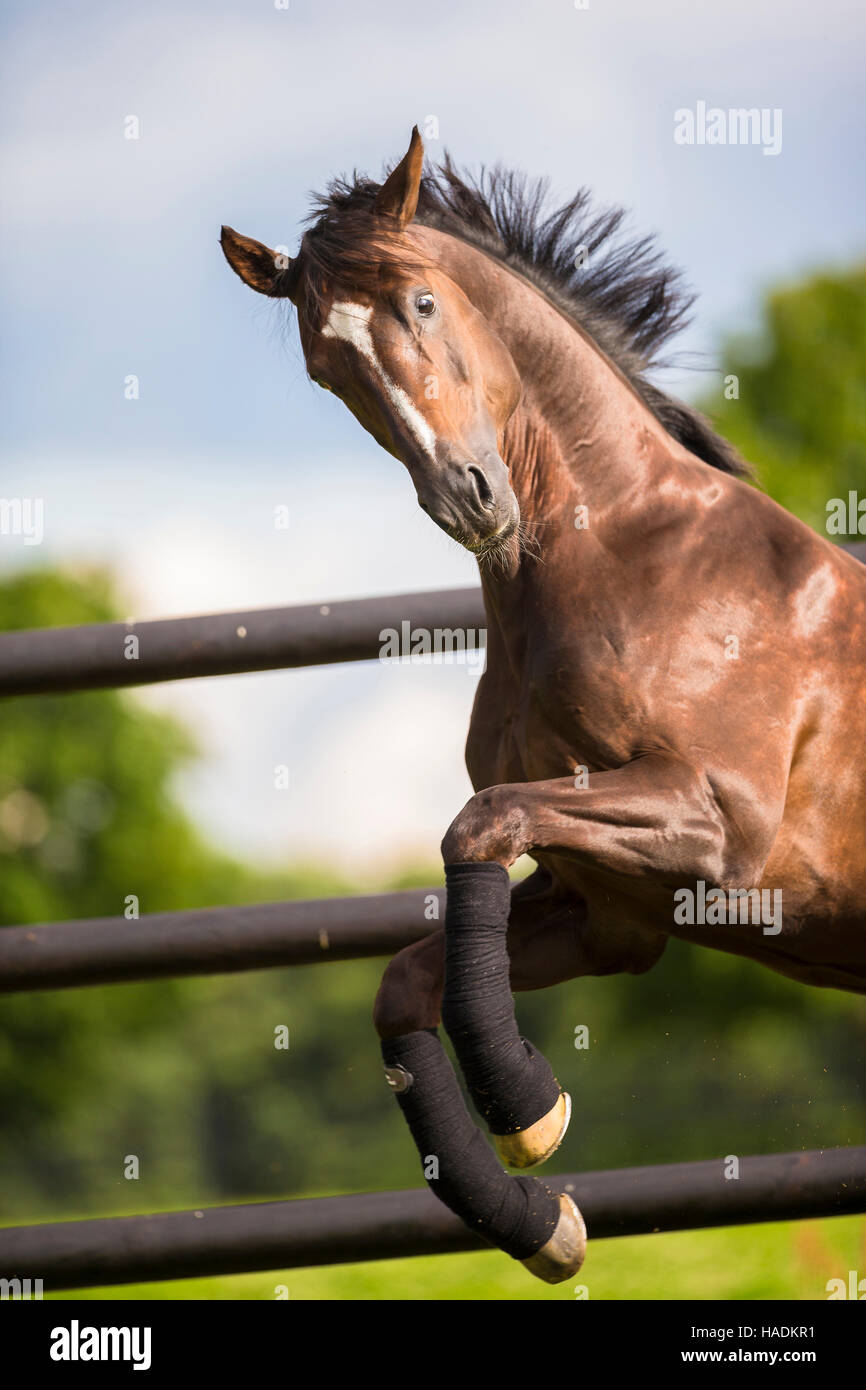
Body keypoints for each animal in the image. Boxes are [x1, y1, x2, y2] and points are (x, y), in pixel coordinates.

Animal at [221, 128, 866, 1284]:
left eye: (422, 302)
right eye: (324, 368)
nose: (470, 497)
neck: (639, 561)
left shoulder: (719, 832)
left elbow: (480, 822)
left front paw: (530, 1116)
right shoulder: (611, 911)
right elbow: (407, 976)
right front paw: (539, 1214)